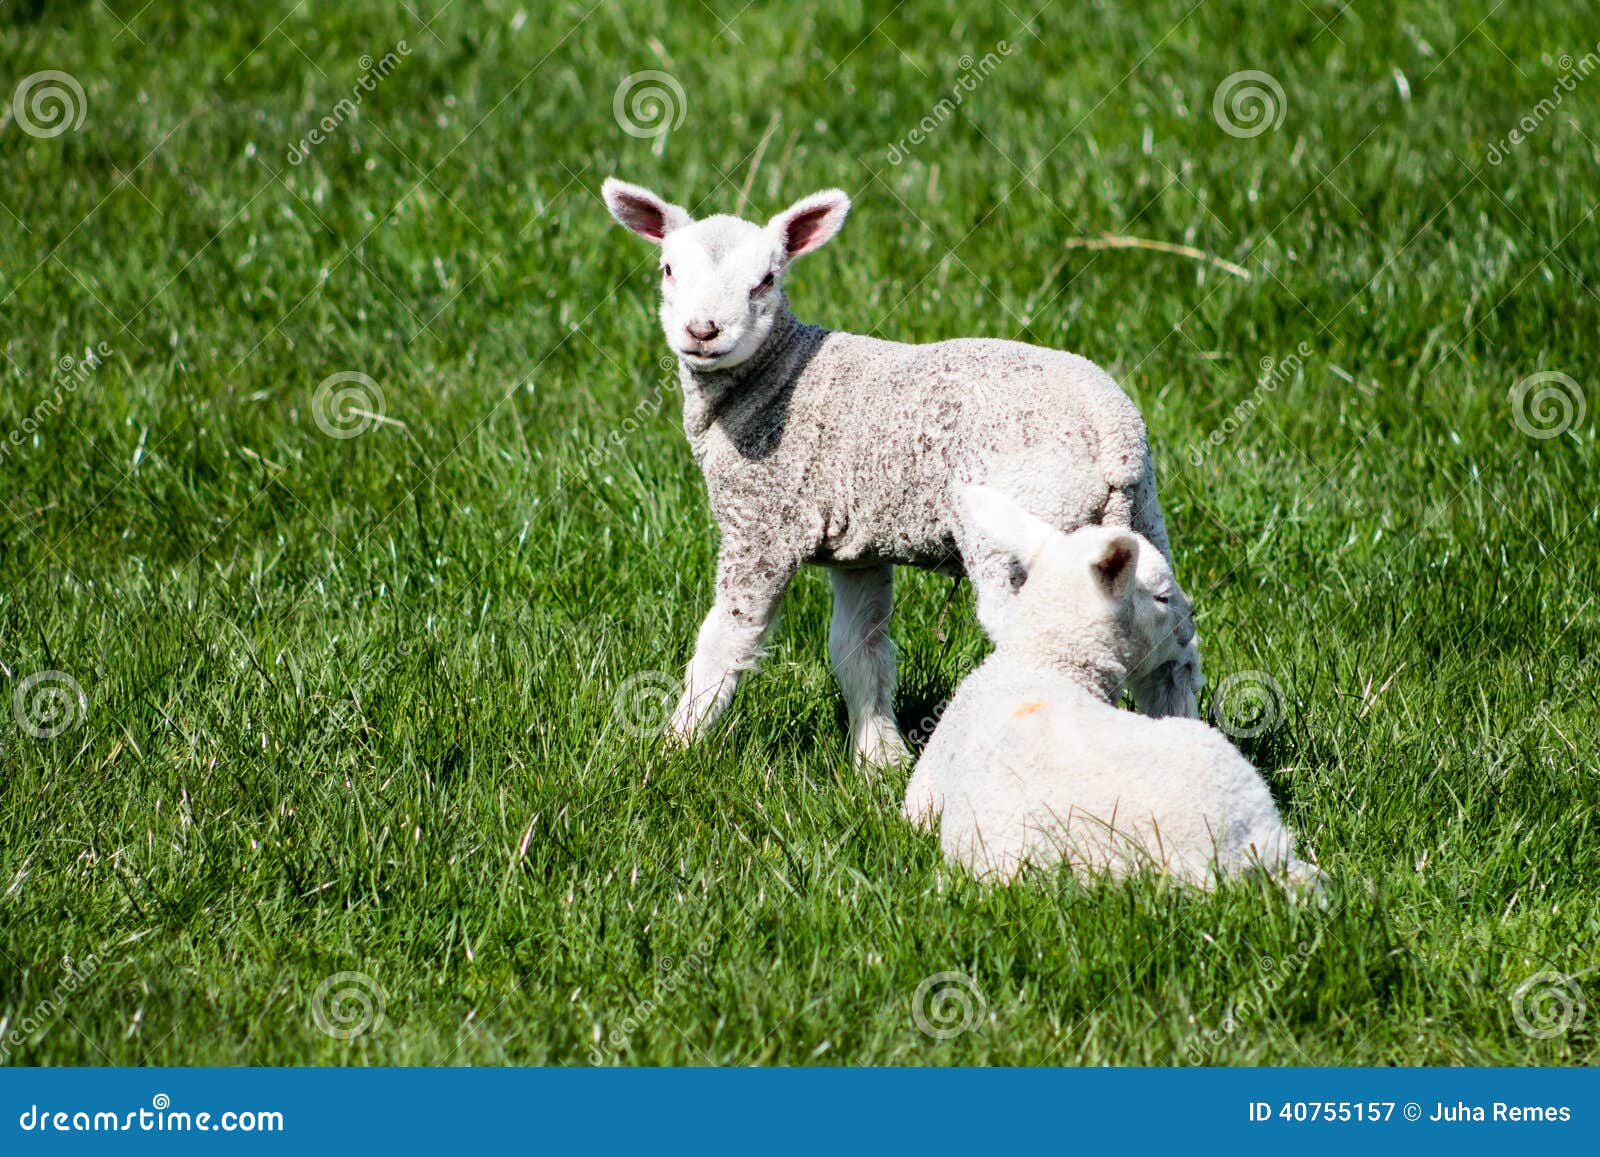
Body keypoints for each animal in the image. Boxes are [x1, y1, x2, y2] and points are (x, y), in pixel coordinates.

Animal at [601, 178, 1201, 767]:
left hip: (1021, 524)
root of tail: (1112, 430)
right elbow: (858, 651)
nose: (702, 330)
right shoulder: (857, 547)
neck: (773, 378)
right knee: (1177, 646)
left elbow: (726, 638)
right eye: (668, 269)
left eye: (766, 280)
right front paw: (879, 760)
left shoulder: (763, 524)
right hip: (1143, 513)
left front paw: (674, 746)